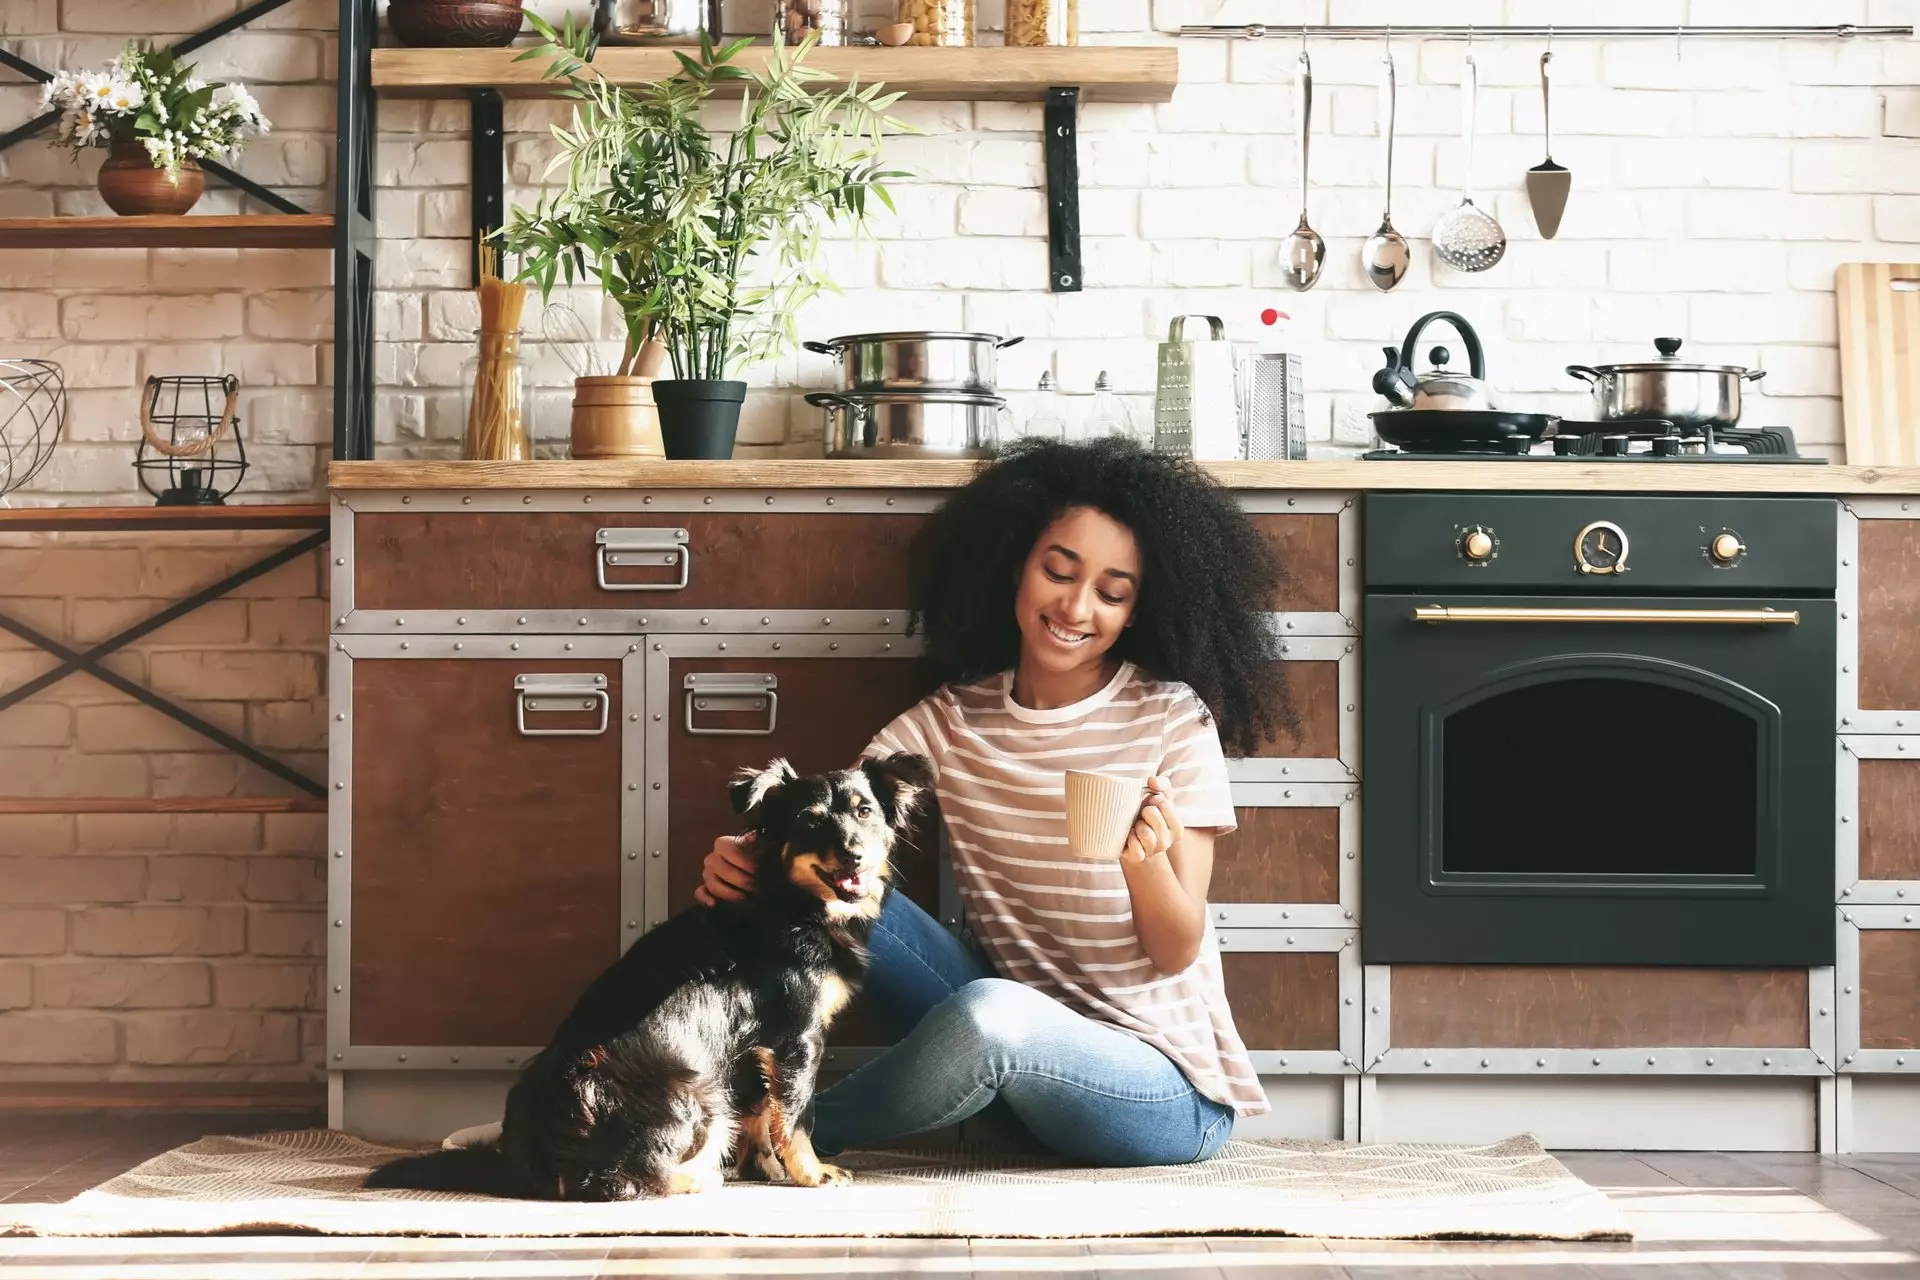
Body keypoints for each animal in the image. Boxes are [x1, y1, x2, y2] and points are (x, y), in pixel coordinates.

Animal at [366, 752, 936, 1205]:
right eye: (810, 824)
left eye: (865, 812)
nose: (854, 854)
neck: (793, 902)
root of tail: (525, 1161)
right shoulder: (798, 1037)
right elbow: (796, 1113)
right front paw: (812, 1173)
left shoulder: (755, 1046)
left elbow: (762, 1110)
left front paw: (766, 1167)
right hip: (696, 1093)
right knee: (618, 1182)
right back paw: (697, 1177)